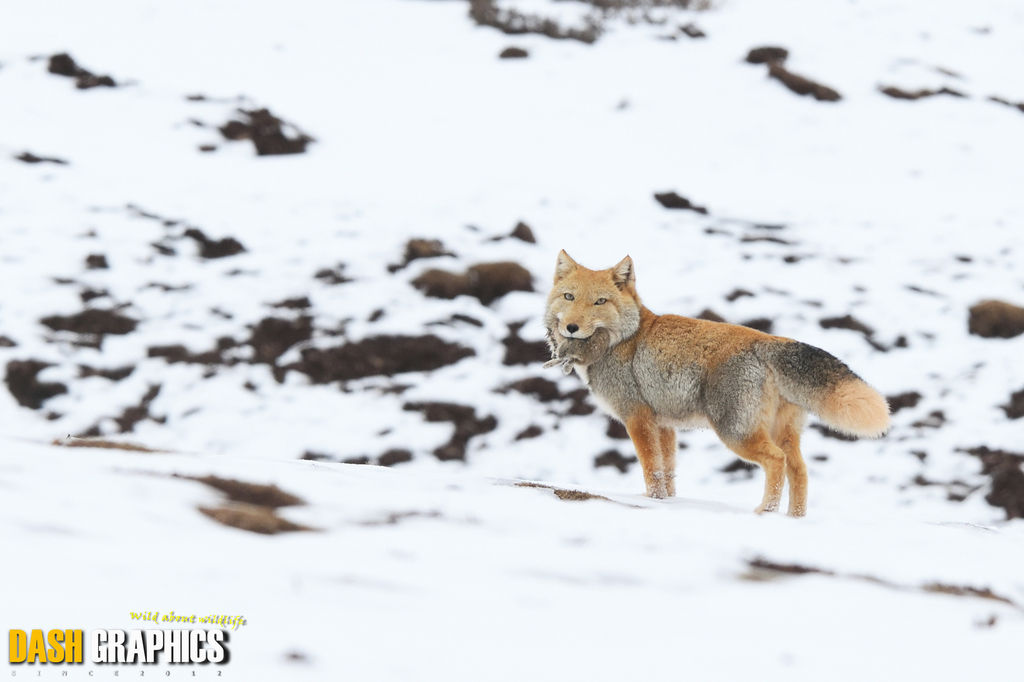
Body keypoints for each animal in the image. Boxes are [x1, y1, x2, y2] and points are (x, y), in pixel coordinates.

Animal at [544, 250, 890, 516]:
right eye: (569, 297)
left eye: (600, 302)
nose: (572, 327)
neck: (623, 340)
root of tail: (768, 339)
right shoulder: (664, 425)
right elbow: (668, 475)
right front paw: (667, 504)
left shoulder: (637, 418)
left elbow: (651, 470)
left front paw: (653, 503)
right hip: (781, 433)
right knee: (800, 471)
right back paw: (794, 519)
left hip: (736, 432)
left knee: (776, 461)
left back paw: (765, 512)